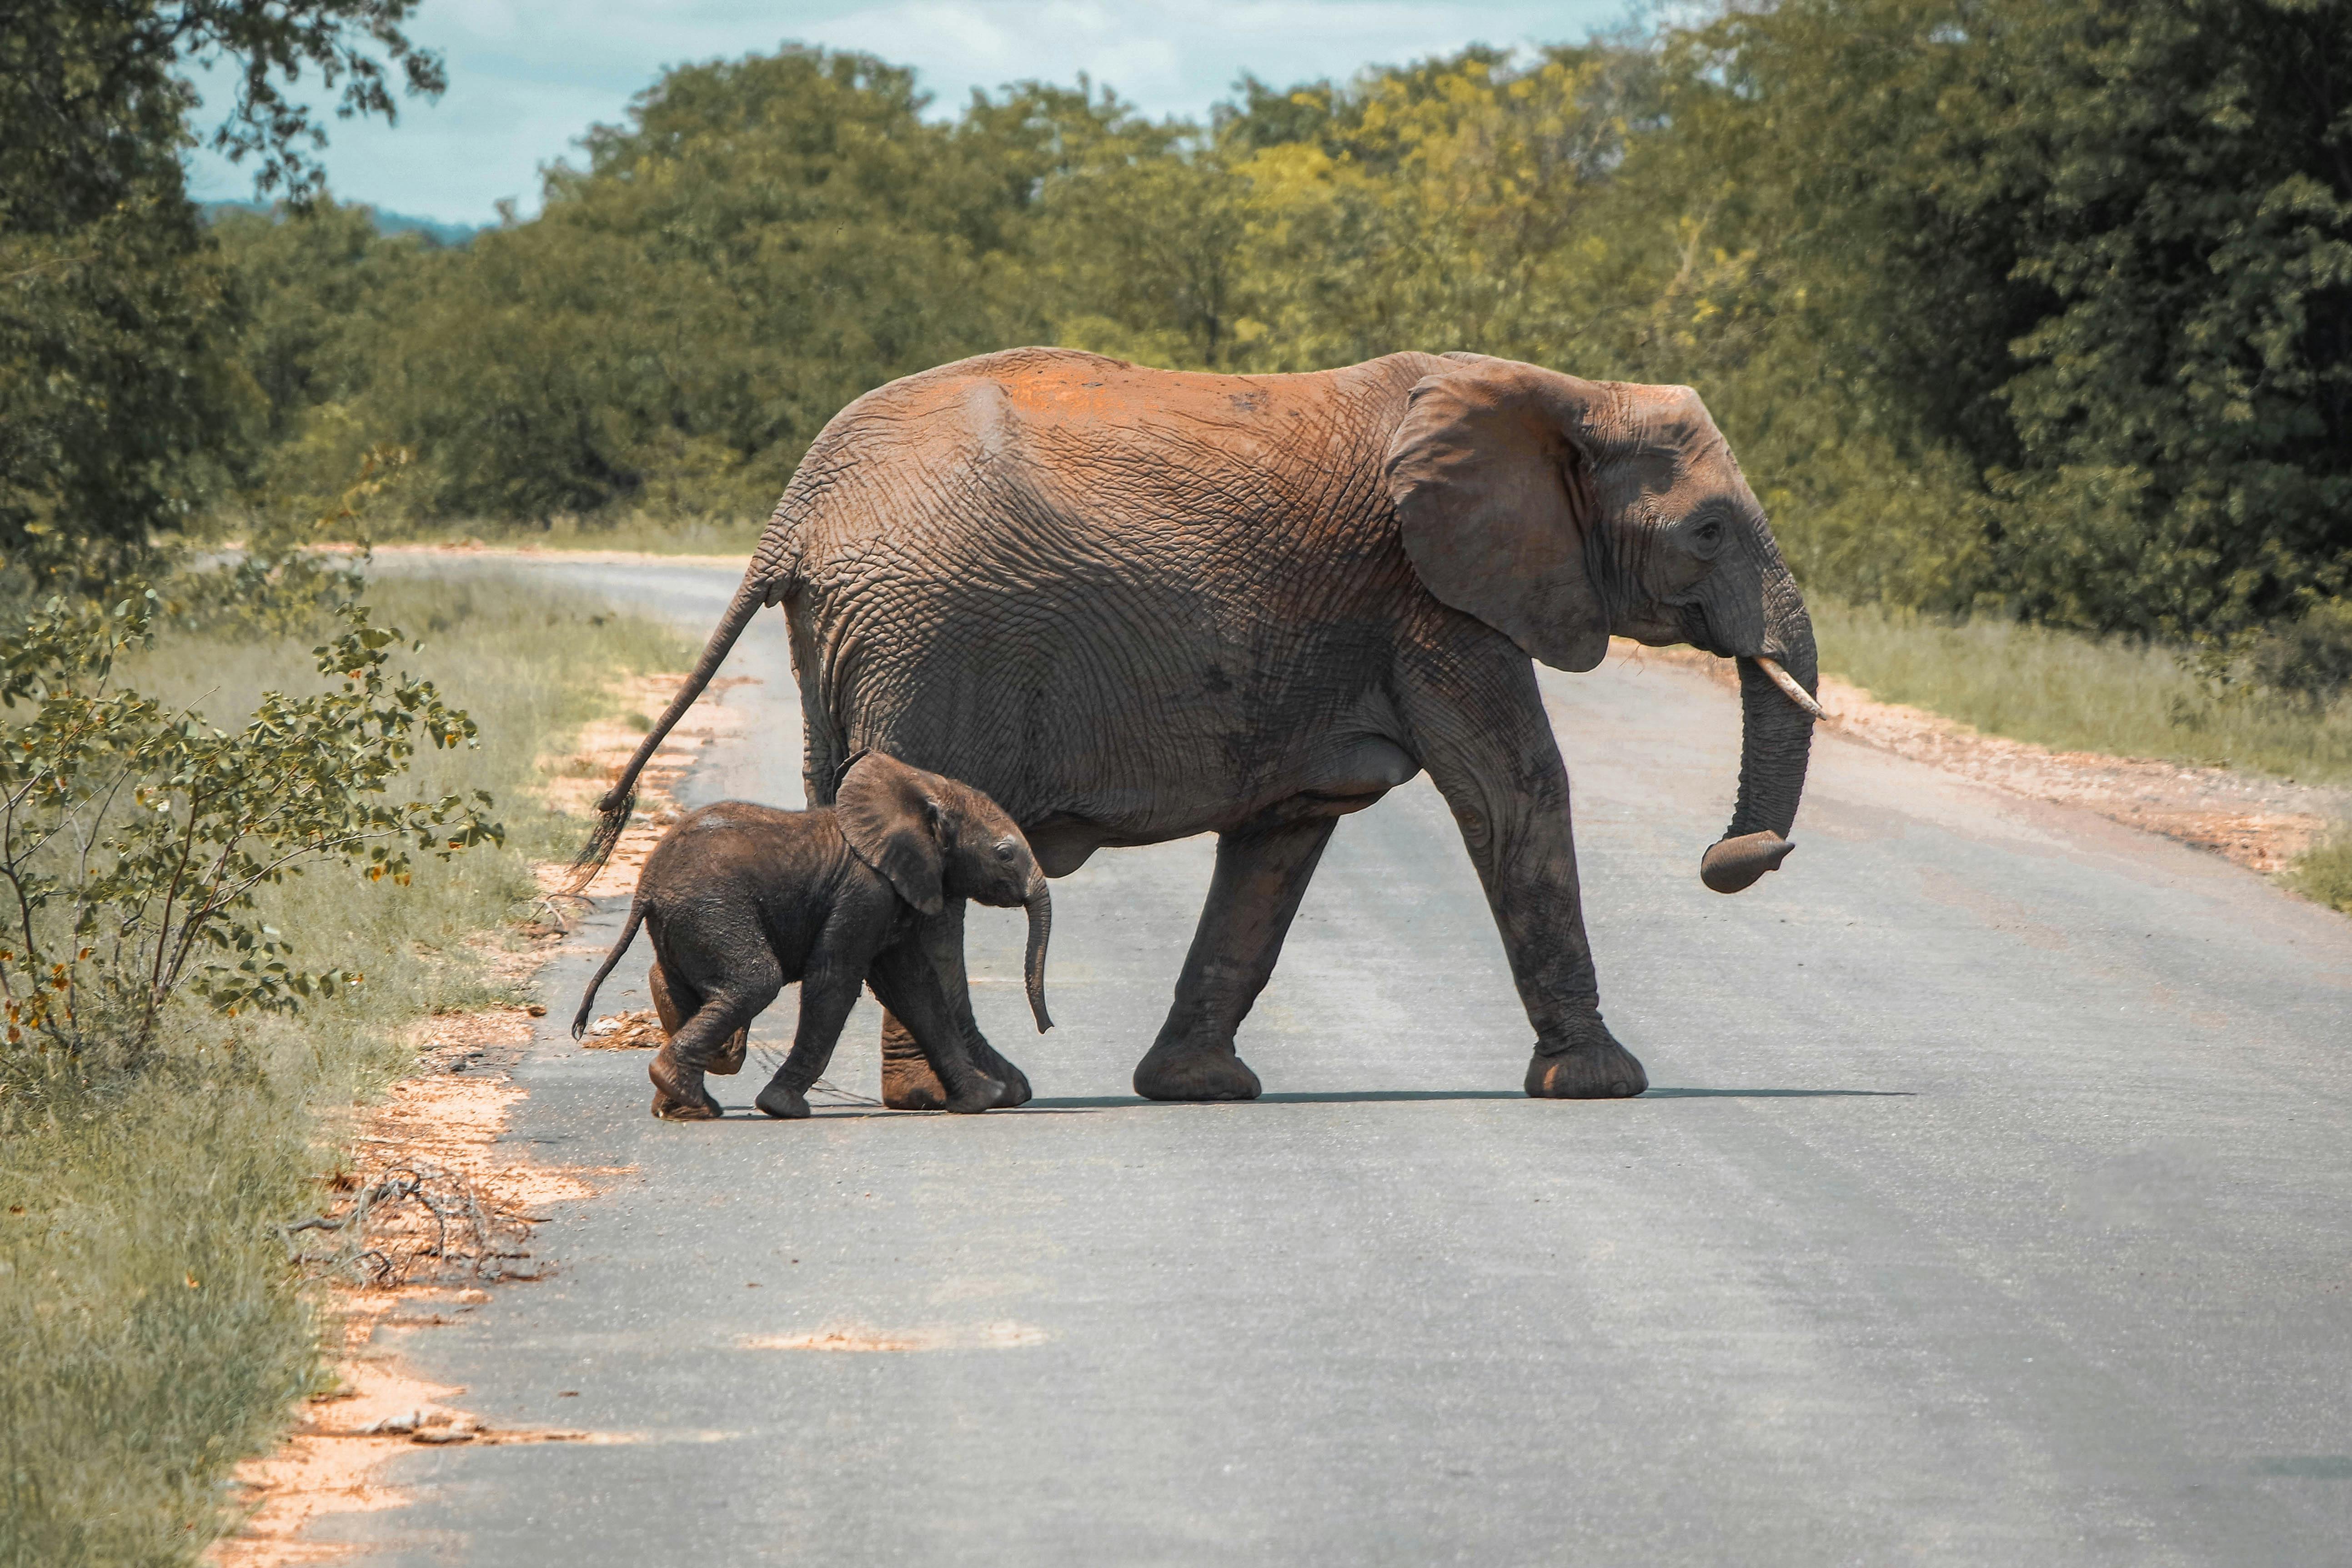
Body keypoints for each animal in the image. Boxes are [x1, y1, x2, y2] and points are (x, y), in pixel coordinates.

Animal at [571, 750, 1054, 1120]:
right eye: (1004, 854)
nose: (1047, 1027)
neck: (920, 794)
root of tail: (645, 887)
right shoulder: (864, 890)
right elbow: (835, 980)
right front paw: (781, 1107)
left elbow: (914, 988)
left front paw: (982, 1100)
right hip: (711, 908)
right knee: (756, 980)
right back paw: (689, 1096)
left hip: (684, 922)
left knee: (671, 984)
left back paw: (683, 1105)